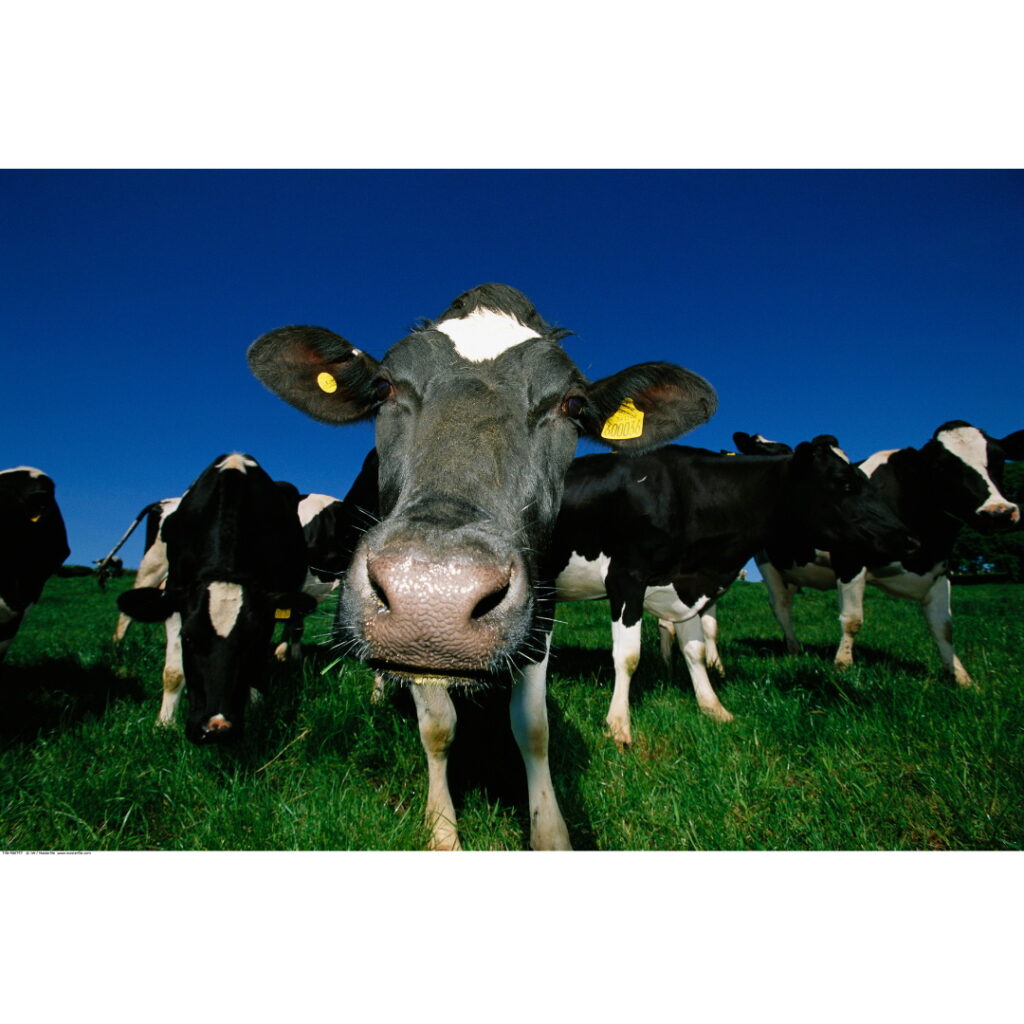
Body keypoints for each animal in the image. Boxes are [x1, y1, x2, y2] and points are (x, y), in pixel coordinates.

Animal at [116, 454, 315, 744]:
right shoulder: (176, 595)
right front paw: (163, 724)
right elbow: (173, 672)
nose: (216, 727)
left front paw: (256, 711)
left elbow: (257, 668)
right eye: (188, 638)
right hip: (152, 564)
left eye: (252, 637)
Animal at [247, 282, 716, 849]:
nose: (433, 594)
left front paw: (550, 832)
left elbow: (533, 727)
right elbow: (437, 728)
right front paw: (442, 830)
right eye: (383, 387)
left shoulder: (540, 610)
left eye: (573, 403)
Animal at [546, 437, 916, 747]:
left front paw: (713, 708)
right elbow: (628, 657)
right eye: (844, 483)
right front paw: (619, 725)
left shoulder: (687, 588)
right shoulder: (627, 578)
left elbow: (695, 651)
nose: (909, 539)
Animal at [736, 422, 1024, 685]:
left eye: (998, 459)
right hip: (767, 563)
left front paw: (962, 678)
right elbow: (852, 619)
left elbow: (944, 627)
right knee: (780, 606)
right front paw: (842, 666)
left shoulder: (940, 569)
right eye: (941, 467)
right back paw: (794, 649)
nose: (998, 512)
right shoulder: (849, 560)